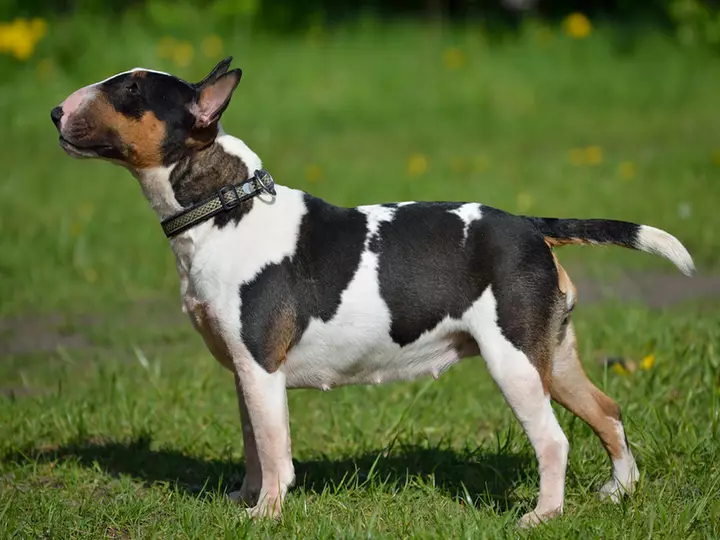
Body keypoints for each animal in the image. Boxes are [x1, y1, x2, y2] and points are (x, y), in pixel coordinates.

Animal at [49, 57, 692, 524]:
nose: (55, 112)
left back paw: (542, 515)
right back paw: (620, 493)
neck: (224, 209)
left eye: (131, 89)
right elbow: (253, 445)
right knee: (608, 412)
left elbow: (275, 450)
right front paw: (242, 502)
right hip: (550, 354)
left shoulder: (261, 366)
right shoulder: (246, 370)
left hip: (513, 361)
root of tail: (531, 227)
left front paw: (267, 515)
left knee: (554, 440)